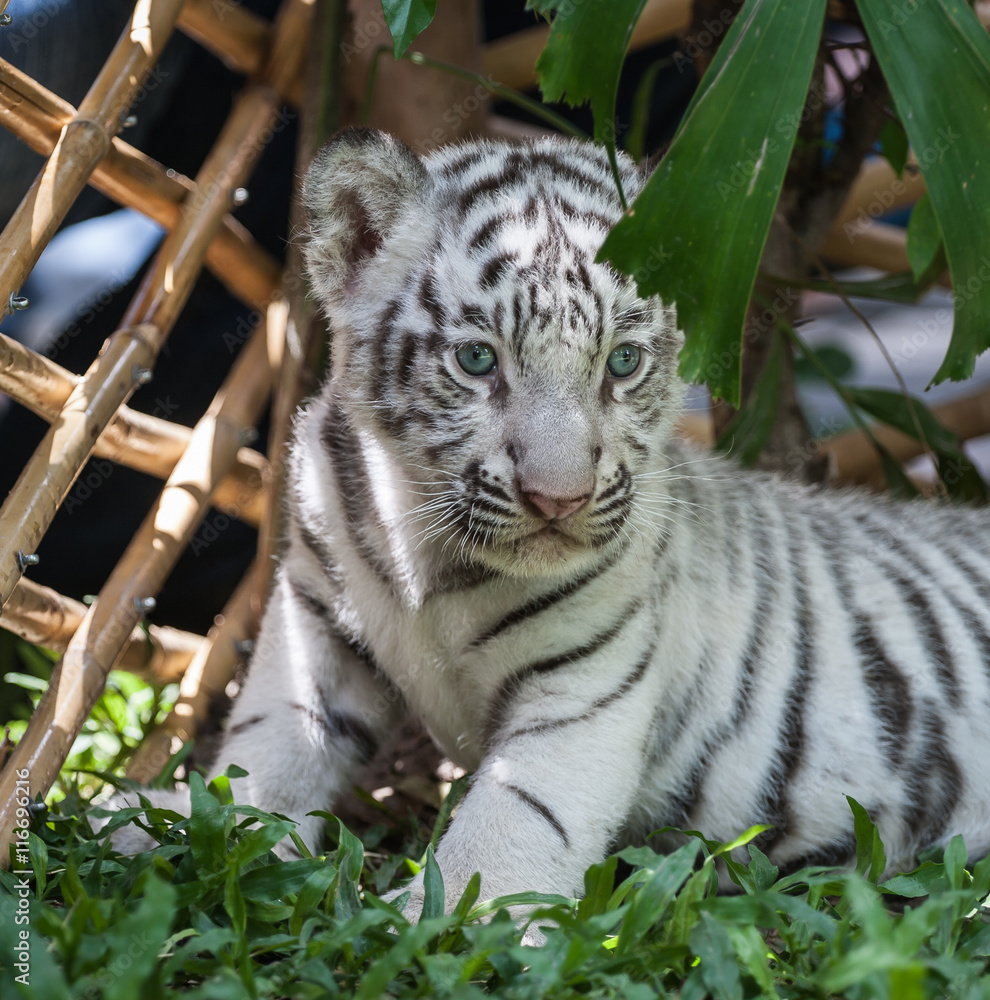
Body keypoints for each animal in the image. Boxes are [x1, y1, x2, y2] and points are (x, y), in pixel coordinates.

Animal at [106, 127, 990, 921]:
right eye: (477, 361)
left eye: (622, 364)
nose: (558, 498)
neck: (425, 557)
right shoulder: (314, 613)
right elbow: (266, 751)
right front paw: (165, 830)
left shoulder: (583, 686)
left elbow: (509, 827)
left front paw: (433, 925)